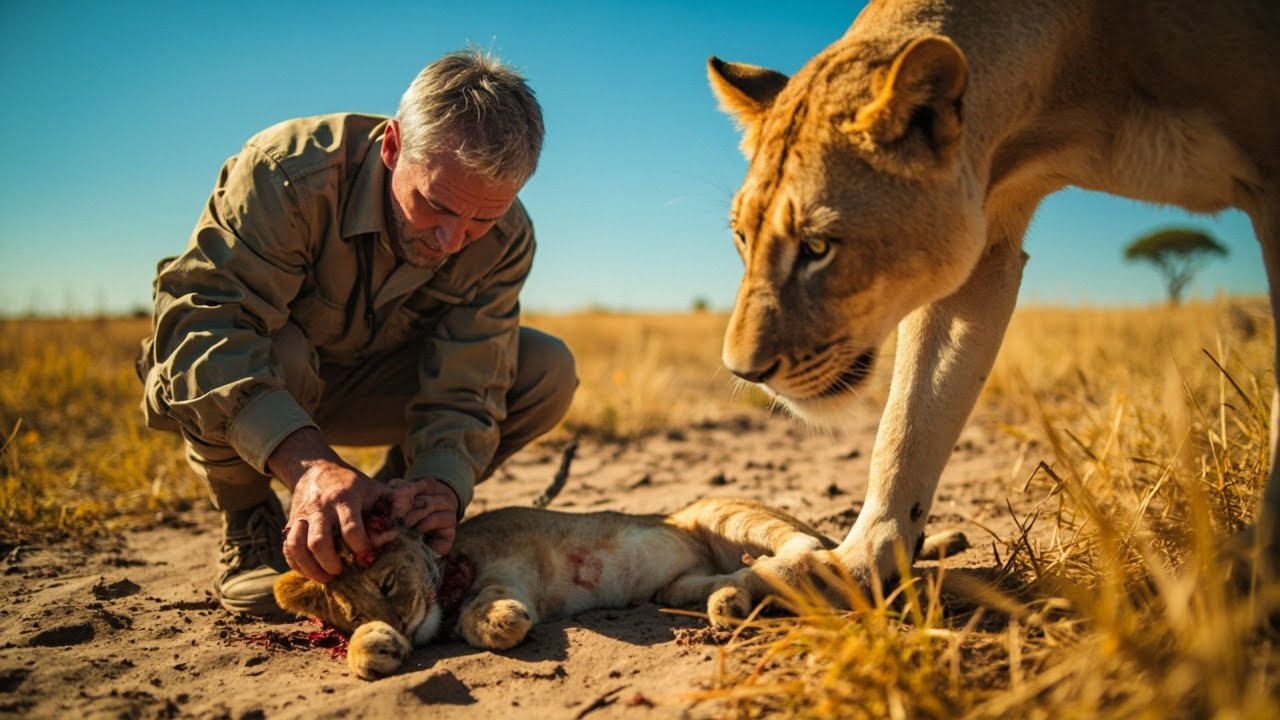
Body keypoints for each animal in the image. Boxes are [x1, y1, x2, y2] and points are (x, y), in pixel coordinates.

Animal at [274, 497, 967, 679]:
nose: (402, 623)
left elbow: (486, 608)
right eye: (351, 613)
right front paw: (372, 649)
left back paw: (765, 576)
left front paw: (497, 623)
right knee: (732, 581)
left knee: (808, 549)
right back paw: (732, 600)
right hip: (681, 581)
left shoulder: (506, 565)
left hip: (730, 516)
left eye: (390, 580)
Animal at [707, 0, 1280, 590]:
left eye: (818, 246)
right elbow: (908, 422)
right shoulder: (983, 252)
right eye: (742, 237)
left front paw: (1260, 564)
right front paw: (854, 566)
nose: (744, 371)